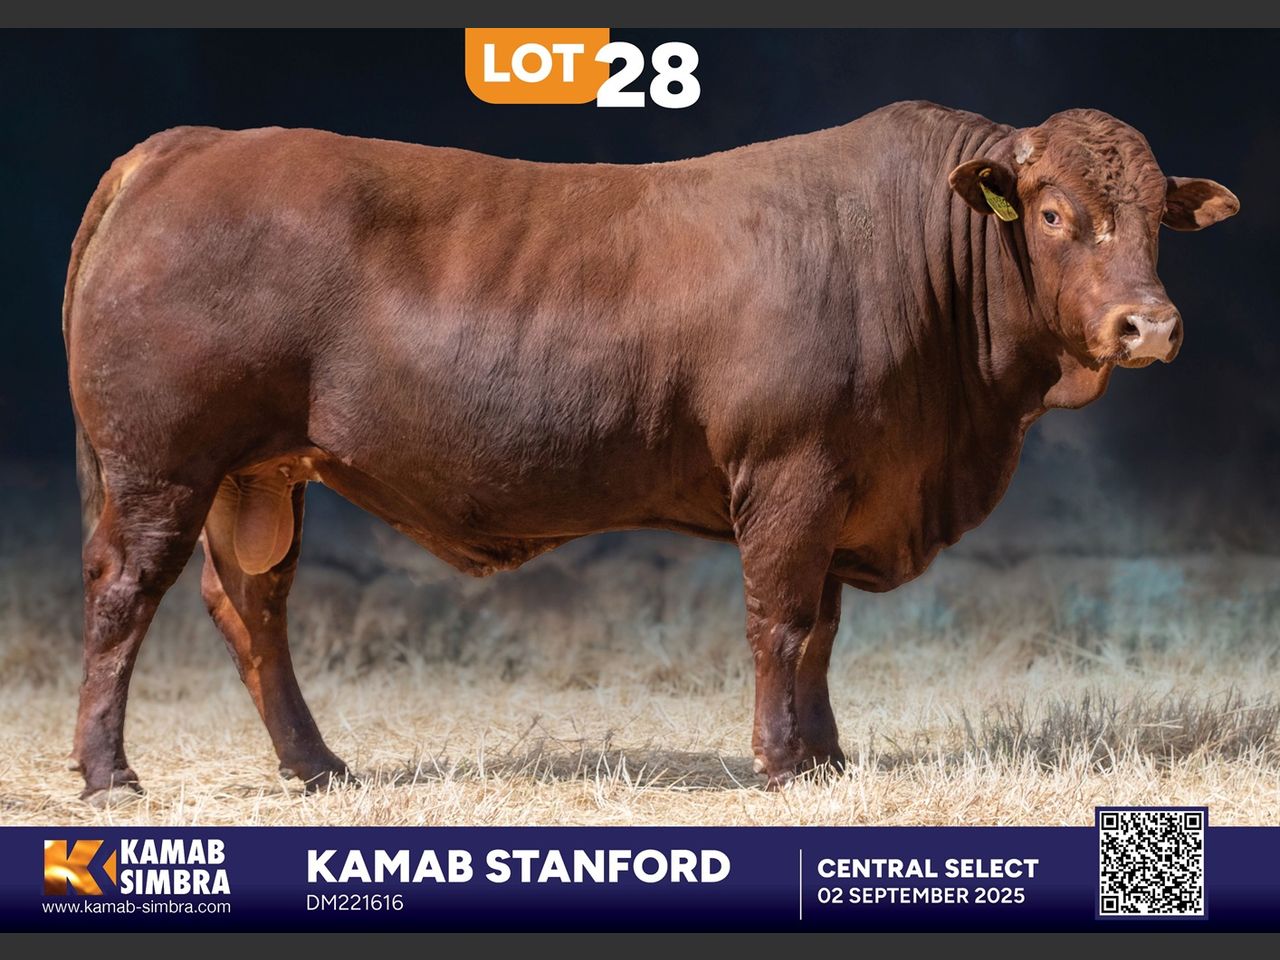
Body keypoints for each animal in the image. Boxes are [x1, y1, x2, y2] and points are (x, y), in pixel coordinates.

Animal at [63, 101, 1238, 803]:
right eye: (1053, 212)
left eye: (1157, 219)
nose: (1149, 326)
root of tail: (184, 145)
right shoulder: (792, 472)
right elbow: (781, 620)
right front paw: (779, 760)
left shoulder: (842, 483)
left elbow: (821, 633)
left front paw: (825, 756)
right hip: (162, 464)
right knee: (123, 595)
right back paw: (107, 773)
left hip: (257, 476)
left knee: (250, 609)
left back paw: (317, 766)